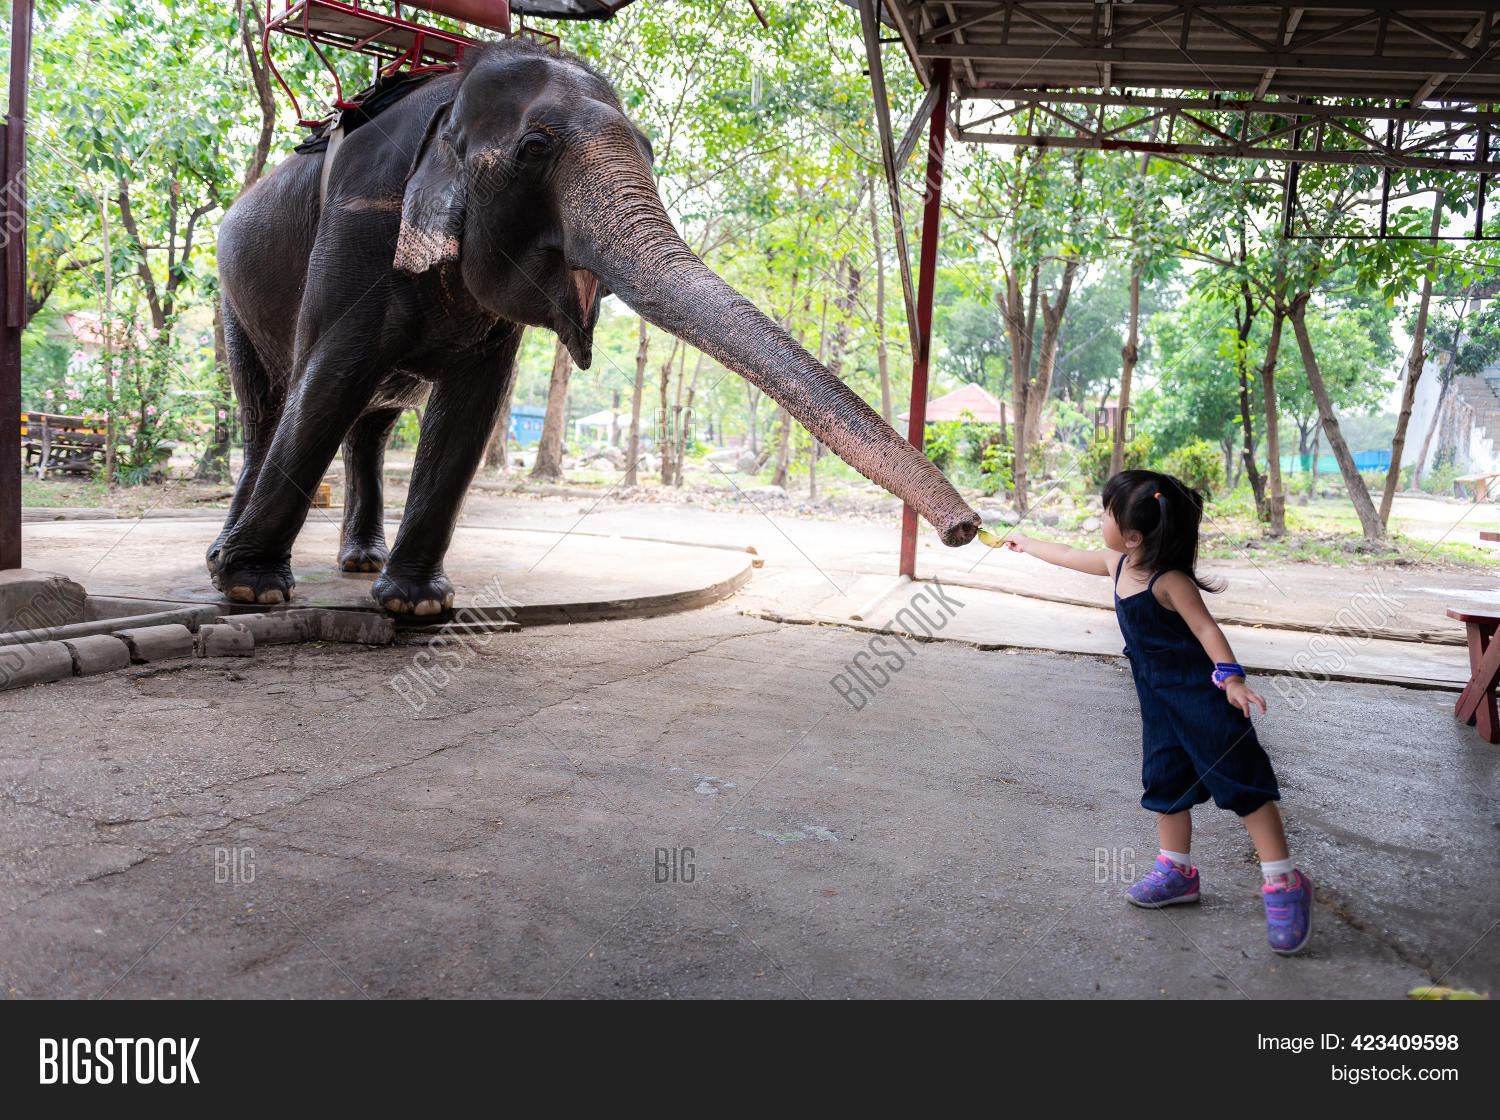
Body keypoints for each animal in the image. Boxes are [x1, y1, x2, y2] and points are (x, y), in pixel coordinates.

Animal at [209, 38, 979, 615]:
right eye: (534, 149)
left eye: (647, 147)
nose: (968, 528)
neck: (450, 97)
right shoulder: (359, 220)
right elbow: (330, 376)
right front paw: (252, 589)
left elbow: (471, 408)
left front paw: (417, 603)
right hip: (229, 295)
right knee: (269, 408)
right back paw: (227, 558)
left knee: (370, 422)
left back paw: (359, 562)